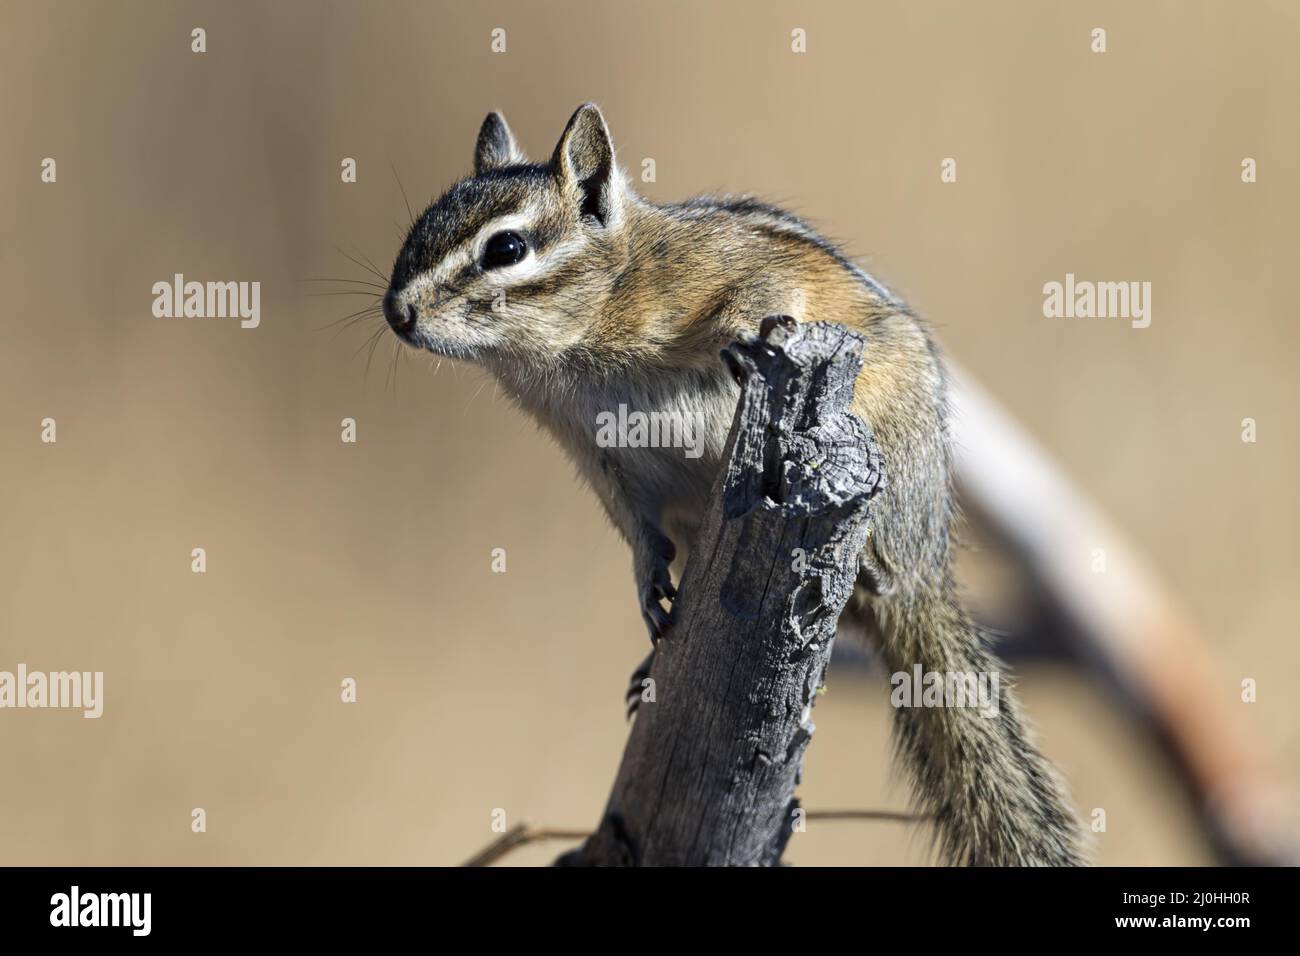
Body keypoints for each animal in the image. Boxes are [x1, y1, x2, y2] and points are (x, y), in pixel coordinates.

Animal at [381, 104, 1085, 866]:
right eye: (418, 228)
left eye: (506, 248)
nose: (396, 312)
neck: (586, 325)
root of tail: (933, 572)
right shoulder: (603, 462)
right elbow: (639, 532)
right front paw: (647, 584)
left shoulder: (724, 264)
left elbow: (762, 291)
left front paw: (752, 332)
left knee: (887, 570)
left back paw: (876, 557)